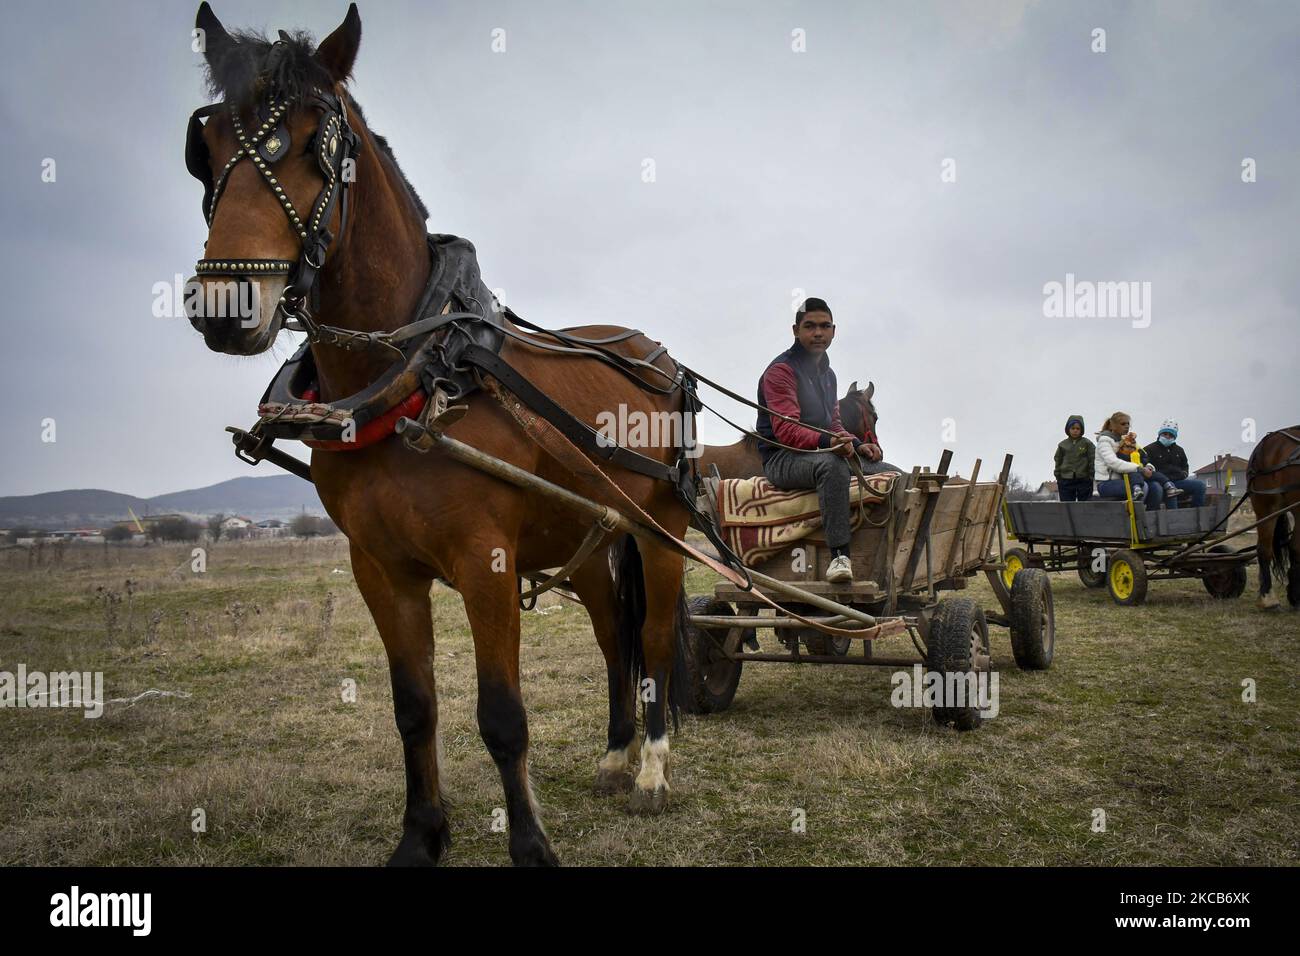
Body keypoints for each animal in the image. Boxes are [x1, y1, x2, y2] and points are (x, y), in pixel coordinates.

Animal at [183, 2, 695, 866]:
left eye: (320, 141)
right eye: (208, 145)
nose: (225, 306)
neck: (417, 380)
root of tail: (651, 353)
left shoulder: (486, 560)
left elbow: (502, 717)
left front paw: (530, 846)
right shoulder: (379, 566)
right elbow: (413, 708)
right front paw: (421, 837)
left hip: (661, 531)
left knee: (654, 640)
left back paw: (655, 769)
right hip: (592, 540)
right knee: (610, 639)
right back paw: (615, 756)